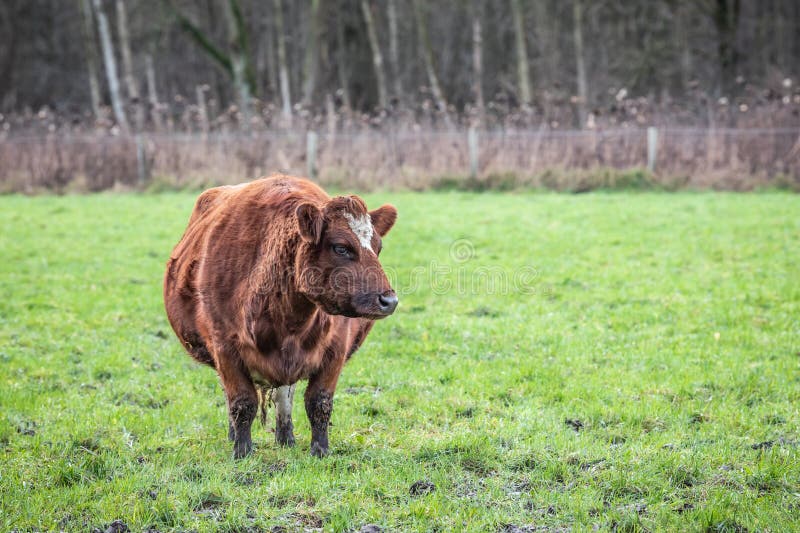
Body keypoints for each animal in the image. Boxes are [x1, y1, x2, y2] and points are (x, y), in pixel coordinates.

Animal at [163, 175, 398, 458]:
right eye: (341, 248)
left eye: (378, 247)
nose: (389, 301)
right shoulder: (224, 347)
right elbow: (242, 401)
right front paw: (242, 451)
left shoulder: (336, 349)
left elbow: (319, 401)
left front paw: (320, 450)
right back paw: (235, 435)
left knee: (285, 395)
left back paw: (286, 437)